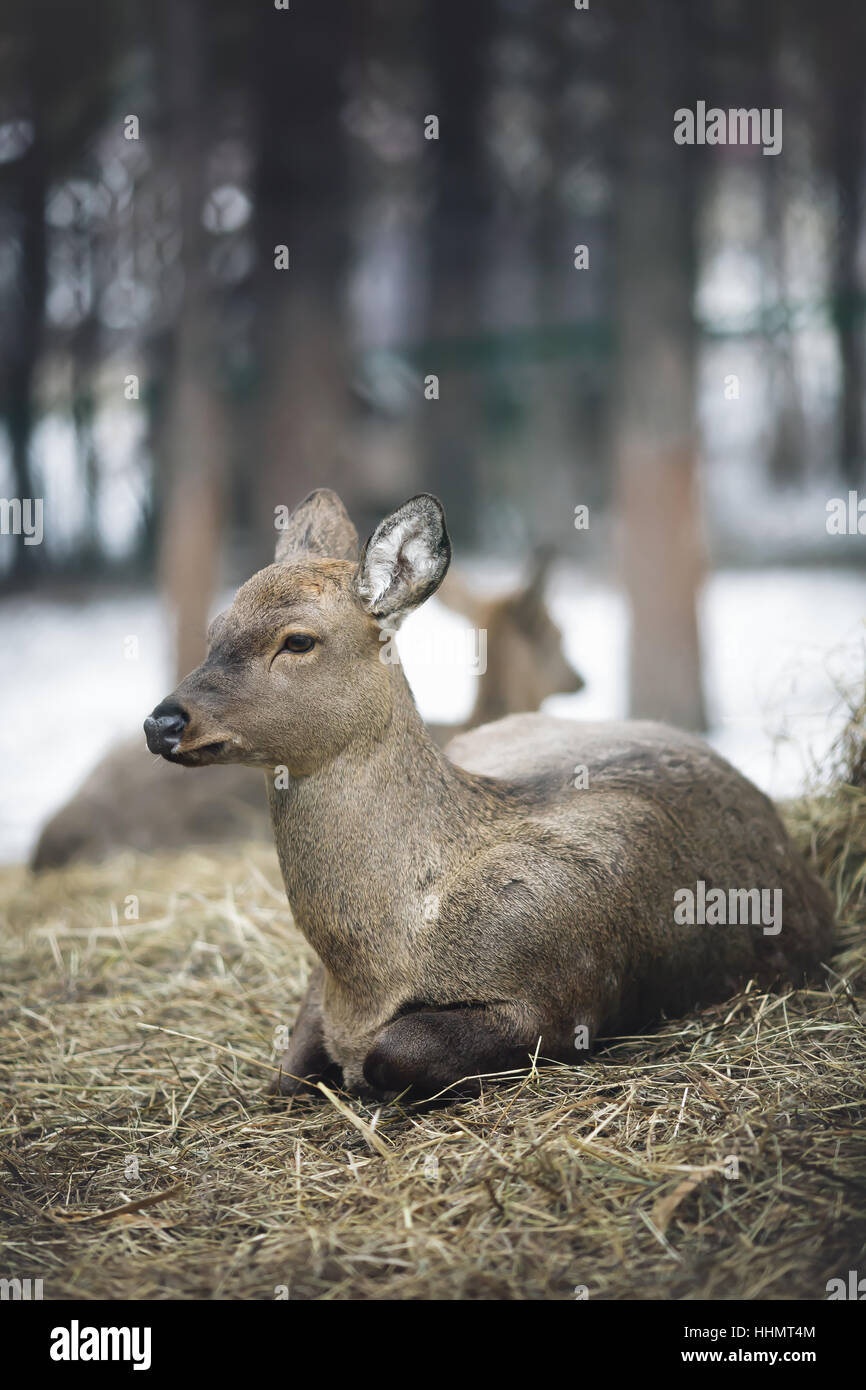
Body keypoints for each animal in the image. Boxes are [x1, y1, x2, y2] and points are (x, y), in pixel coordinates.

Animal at [143, 490, 834, 1101]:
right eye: (215, 628)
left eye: (298, 640)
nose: (163, 722)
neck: (375, 965)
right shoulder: (321, 986)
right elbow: (289, 1070)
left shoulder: (559, 992)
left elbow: (396, 1051)